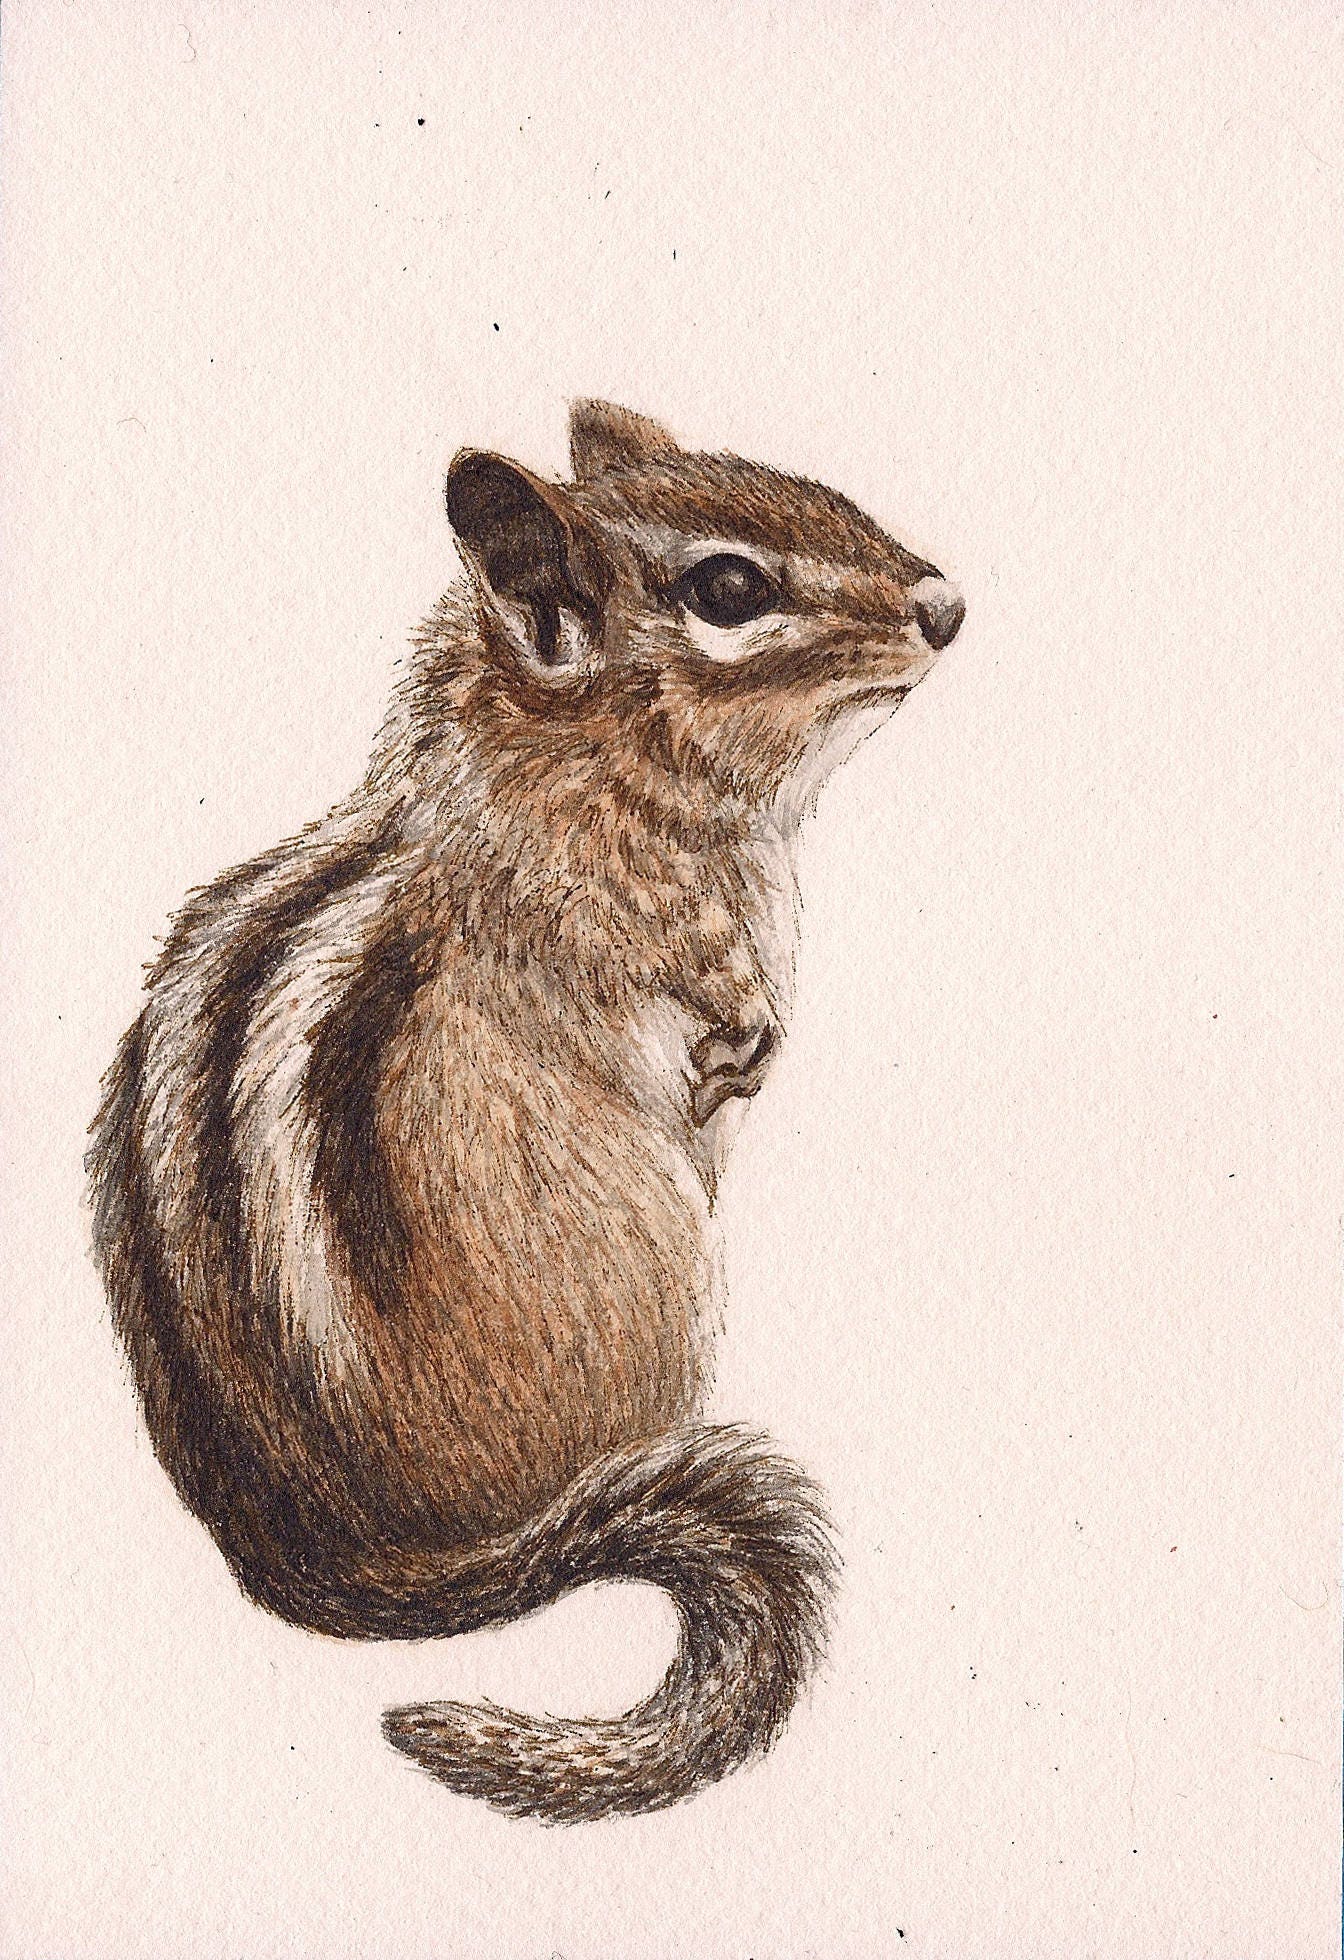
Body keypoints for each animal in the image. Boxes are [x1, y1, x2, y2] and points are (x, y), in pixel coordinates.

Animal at [87, 401, 964, 1824]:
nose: (946, 605)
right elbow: (703, 981)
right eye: (730, 589)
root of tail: (354, 1561)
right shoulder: (630, 916)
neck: (561, 752)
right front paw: (742, 1042)